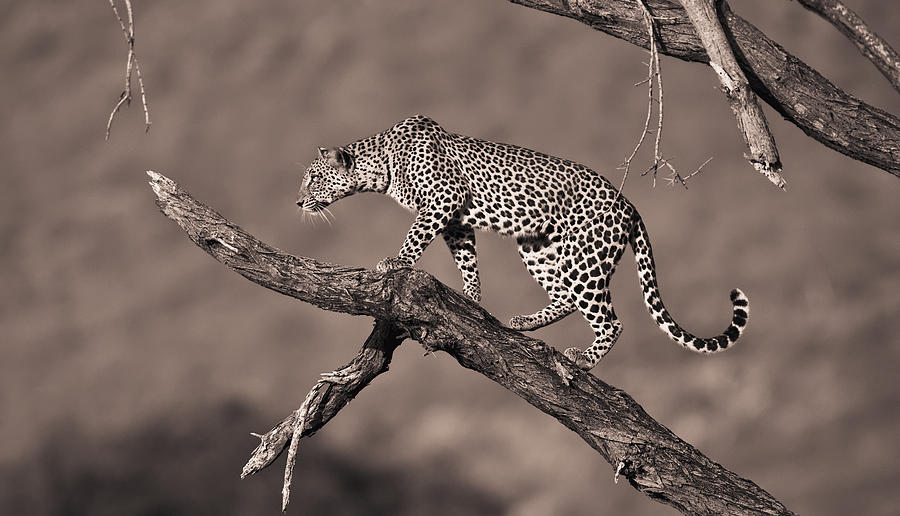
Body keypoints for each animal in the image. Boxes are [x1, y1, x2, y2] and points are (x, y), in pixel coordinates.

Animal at [297, 115, 749, 370]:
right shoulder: (456, 219)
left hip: (583, 259)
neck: (379, 169)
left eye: (313, 178)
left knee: (610, 320)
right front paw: (472, 299)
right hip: (540, 249)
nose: (299, 201)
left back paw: (583, 360)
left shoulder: (443, 199)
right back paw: (525, 323)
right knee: (566, 297)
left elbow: (415, 236)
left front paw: (396, 262)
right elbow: (467, 260)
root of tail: (631, 205)